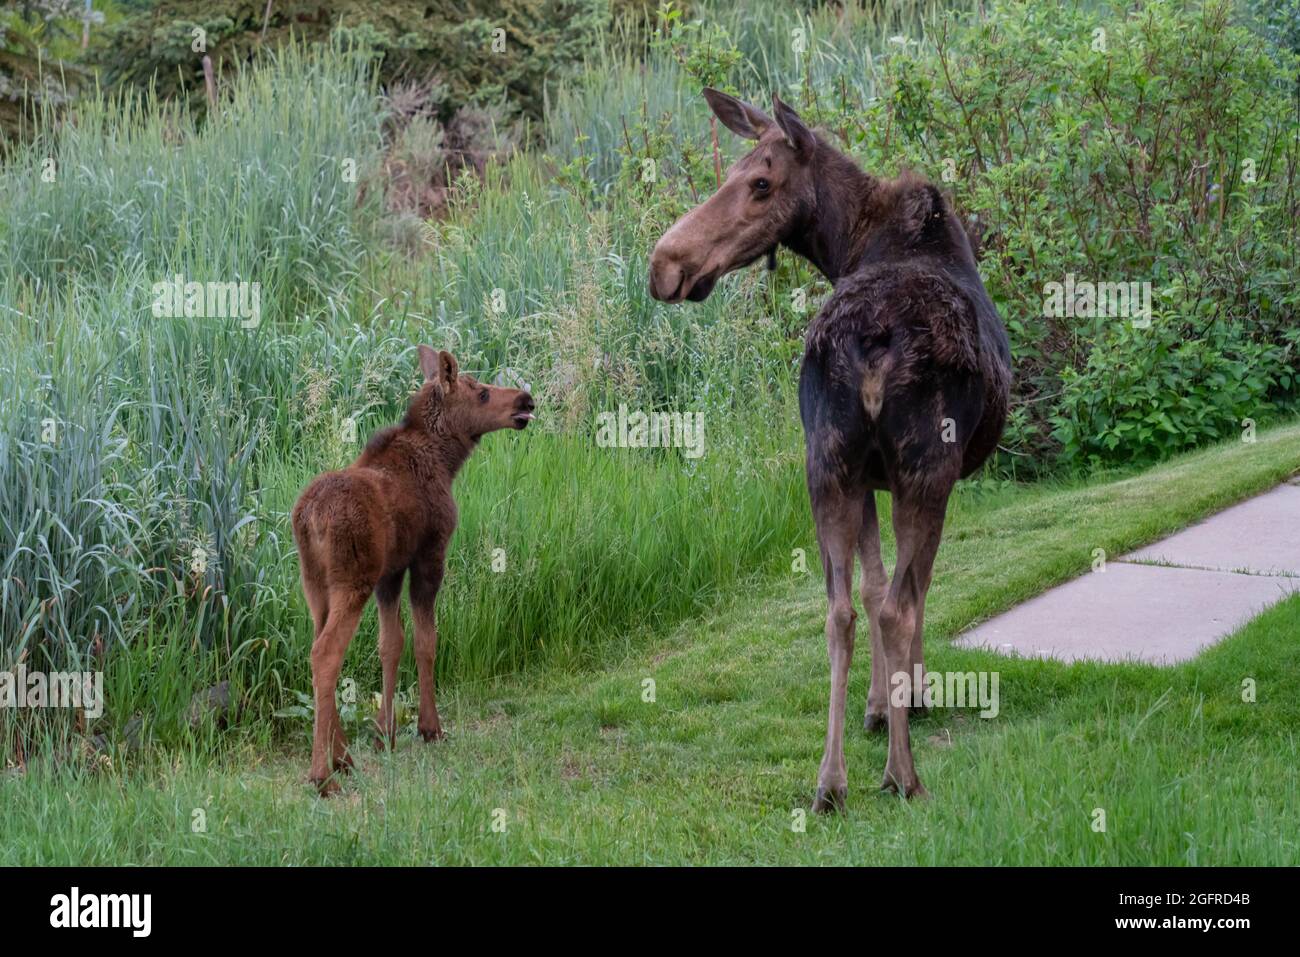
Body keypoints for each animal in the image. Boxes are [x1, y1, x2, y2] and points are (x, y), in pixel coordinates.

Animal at [291, 346, 535, 795]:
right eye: (482, 393)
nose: (525, 400)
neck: (446, 462)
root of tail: (308, 517)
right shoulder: (429, 556)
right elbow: (426, 641)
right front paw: (429, 726)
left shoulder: (390, 573)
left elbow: (391, 644)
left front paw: (384, 733)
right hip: (352, 581)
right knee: (325, 654)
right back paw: (323, 774)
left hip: (315, 586)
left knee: (316, 650)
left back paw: (343, 757)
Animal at [649, 90, 1011, 812]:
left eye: (759, 182)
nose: (663, 265)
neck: (847, 244)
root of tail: (871, 338)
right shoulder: (918, 477)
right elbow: (910, 587)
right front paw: (906, 697)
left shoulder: (865, 477)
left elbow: (867, 588)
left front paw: (879, 704)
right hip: (923, 465)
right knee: (899, 604)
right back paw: (901, 774)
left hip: (825, 465)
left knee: (836, 610)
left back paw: (830, 780)